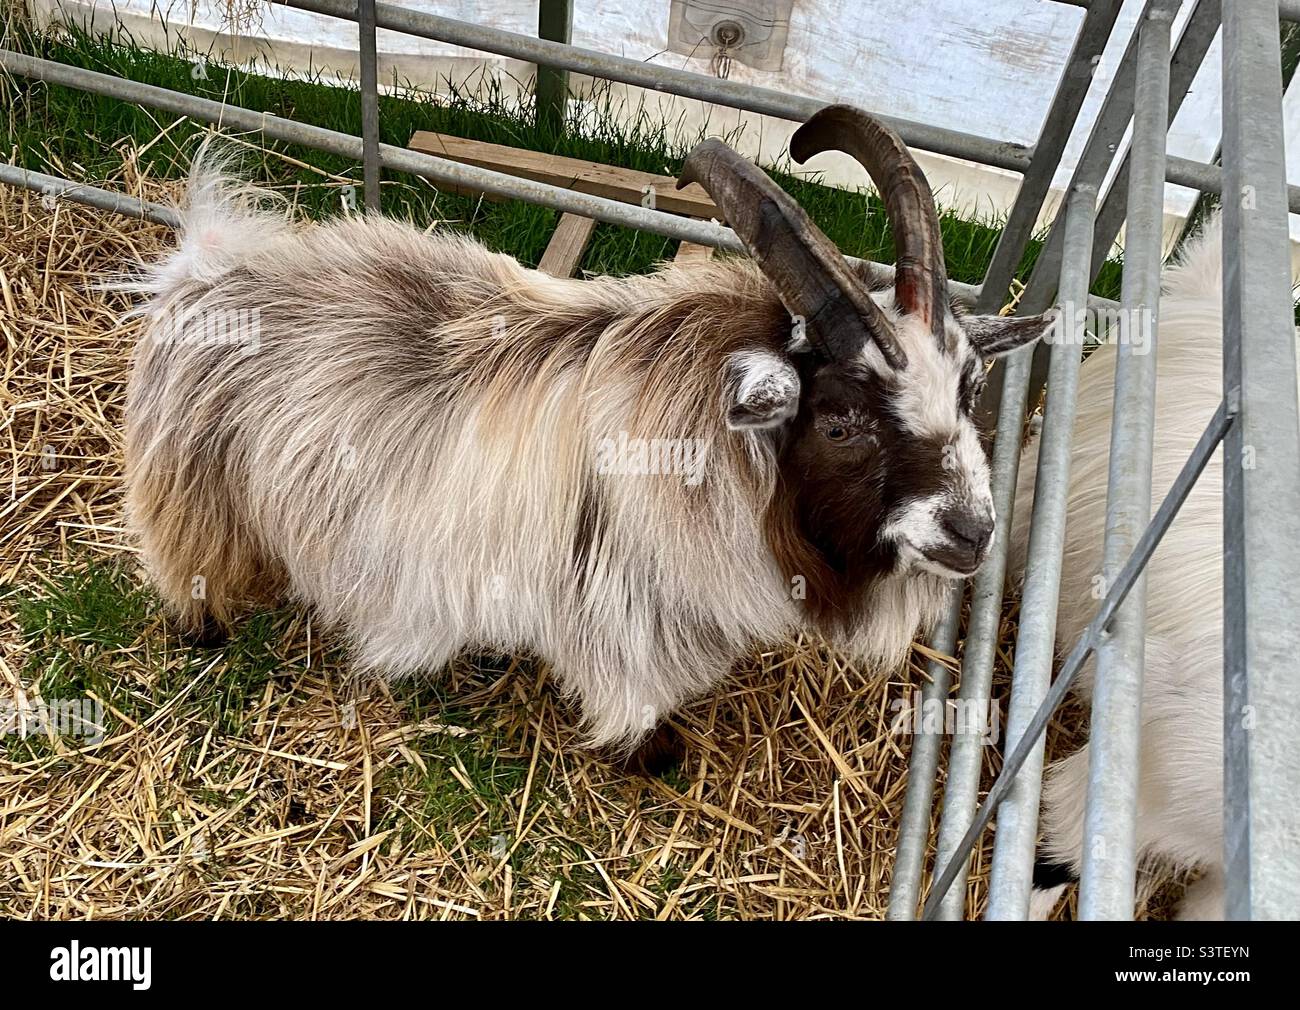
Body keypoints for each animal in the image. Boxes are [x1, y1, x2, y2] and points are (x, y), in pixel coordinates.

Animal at [124, 107, 1050, 763]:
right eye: (839, 421)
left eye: (971, 391)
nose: (974, 532)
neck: (705, 438)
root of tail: (205, 272)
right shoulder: (627, 620)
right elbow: (636, 706)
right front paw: (656, 753)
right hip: (196, 492)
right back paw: (203, 630)